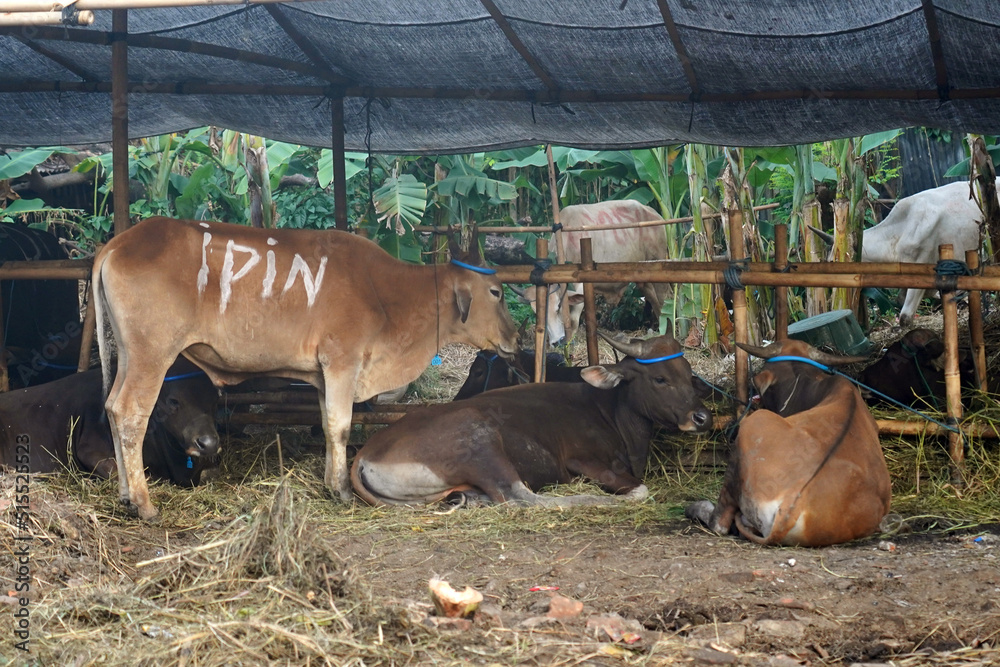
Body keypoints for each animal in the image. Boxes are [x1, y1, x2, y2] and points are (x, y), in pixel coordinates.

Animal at [93, 218, 518, 520]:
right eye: (496, 292)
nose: (516, 338)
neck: (388, 295)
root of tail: (117, 244)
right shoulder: (343, 360)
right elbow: (342, 426)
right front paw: (342, 490)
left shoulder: (324, 373)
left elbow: (328, 424)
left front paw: (332, 483)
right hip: (152, 354)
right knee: (130, 412)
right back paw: (144, 504)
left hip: (129, 354)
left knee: (112, 406)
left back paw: (125, 495)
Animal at [350, 333, 712, 507]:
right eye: (660, 378)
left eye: (688, 373)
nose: (702, 417)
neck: (609, 412)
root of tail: (364, 455)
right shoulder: (586, 461)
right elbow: (639, 489)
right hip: (482, 444)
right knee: (521, 498)